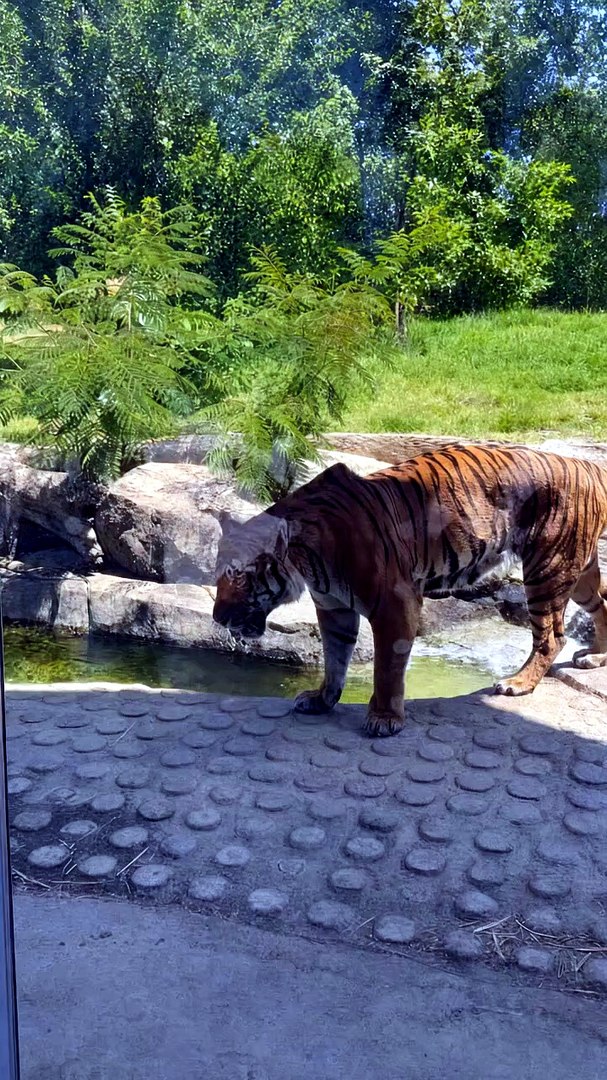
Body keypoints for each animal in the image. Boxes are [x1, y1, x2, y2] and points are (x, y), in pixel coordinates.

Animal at [213, 444, 607, 737]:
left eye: (238, 576)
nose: (217, 618)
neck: (305, 560)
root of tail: (586, 465)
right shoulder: (334, 609)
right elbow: (334, 658)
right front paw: (322, 700)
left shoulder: (394, 603)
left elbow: (386, 668)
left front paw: (384, 718)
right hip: (578, 572)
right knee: (601, 604)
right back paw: (594, 657)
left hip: (547, 568)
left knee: (552, 635)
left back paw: (518, 682)